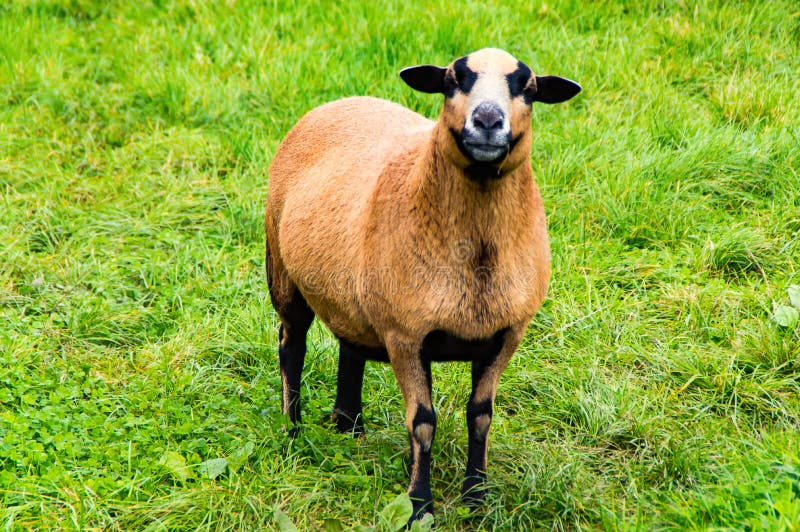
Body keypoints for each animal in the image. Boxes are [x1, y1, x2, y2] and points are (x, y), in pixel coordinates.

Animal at [264, 47, 581, 523]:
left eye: (527, 88)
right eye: (452, 81)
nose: (488, 120)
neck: (477, 259)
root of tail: (340, 101)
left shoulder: (507, 334)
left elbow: (480, 416)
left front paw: (476, 498)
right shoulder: (406, 336)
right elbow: (422, 422)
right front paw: (418, 506)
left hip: (353, 292)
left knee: (349, 346)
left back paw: (348, 425)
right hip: (282, 271)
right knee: (291, 347)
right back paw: (292, 430)